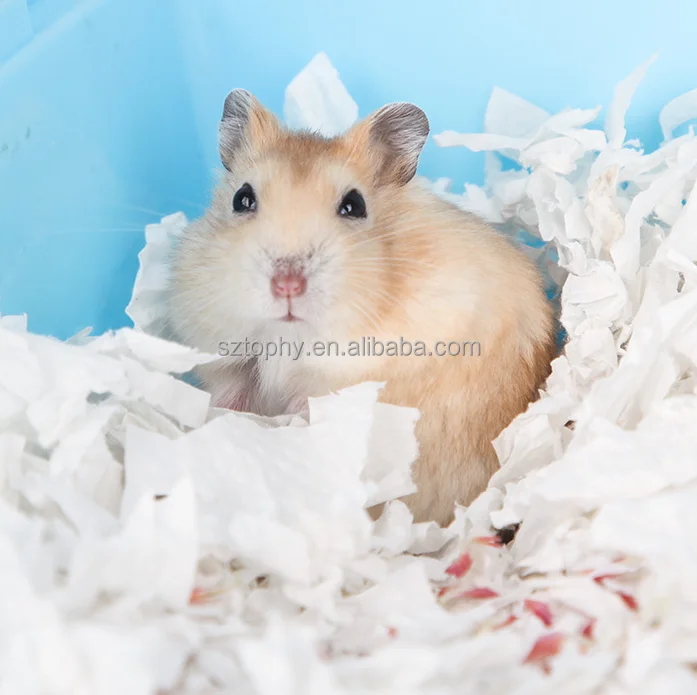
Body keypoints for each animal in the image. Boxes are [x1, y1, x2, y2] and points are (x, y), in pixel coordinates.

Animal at [166, 88, 557, 526]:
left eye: (354, 205)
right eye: (242, 198)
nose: (287, 284)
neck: (288, 337)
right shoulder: (227, 358)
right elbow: (229, 392)